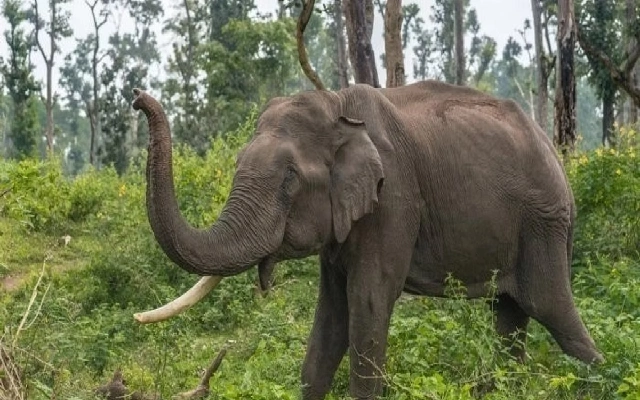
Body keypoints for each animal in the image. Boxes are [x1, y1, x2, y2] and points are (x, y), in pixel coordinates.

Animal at [131, 80, 603, 400]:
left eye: (290, 179)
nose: (136, 96)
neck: (336, 105)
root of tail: (556, 154)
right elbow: (332, 313)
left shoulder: (393, 199)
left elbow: (368, 300)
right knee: (510, 315)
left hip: (544, 223)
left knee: (550, 309)